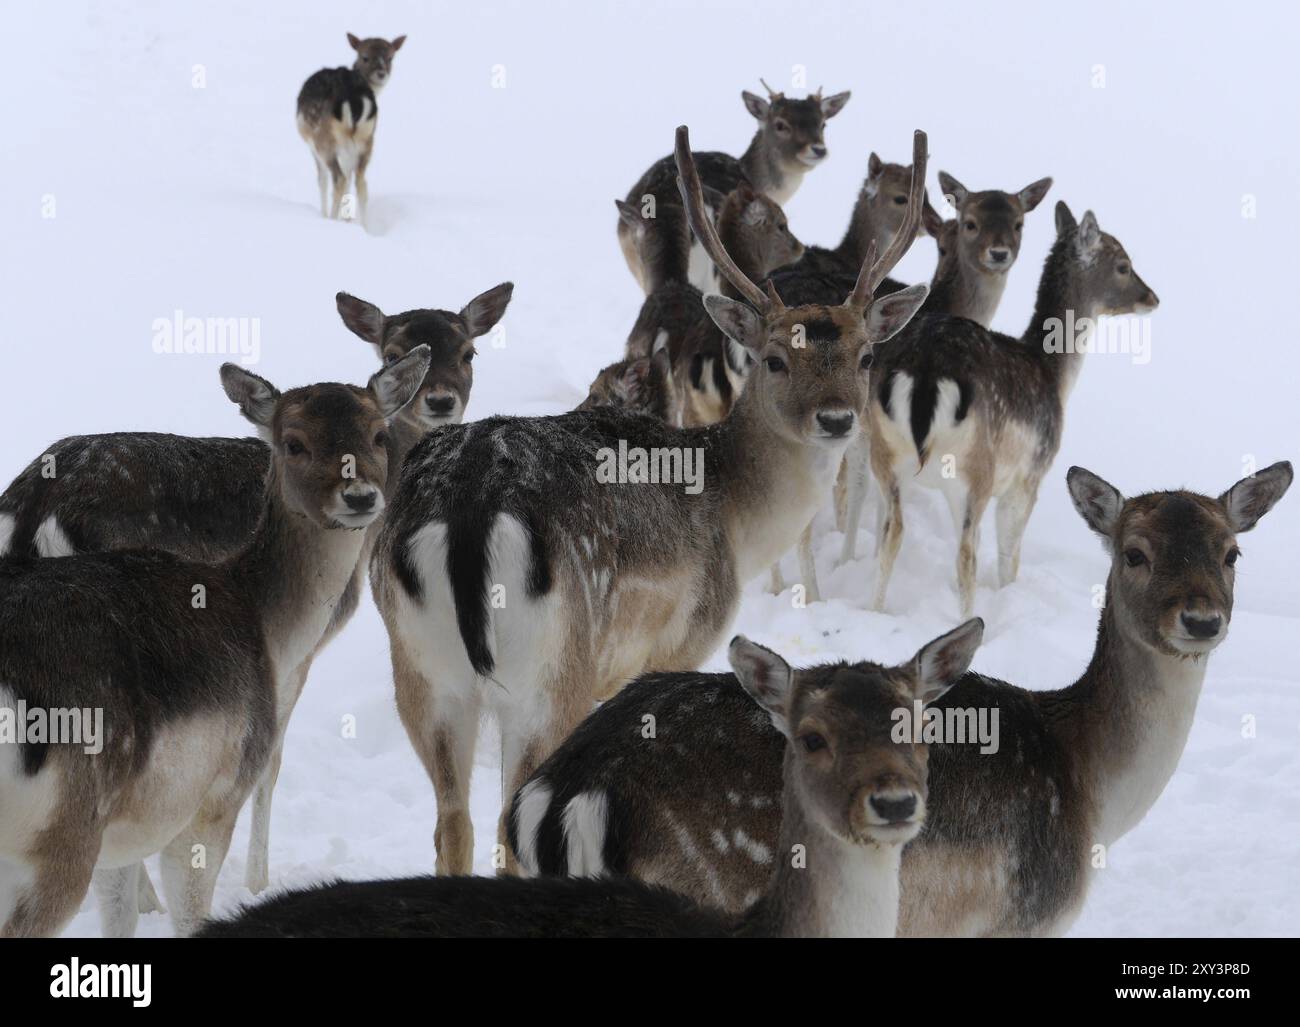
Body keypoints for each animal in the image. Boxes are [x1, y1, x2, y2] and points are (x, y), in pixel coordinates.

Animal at [0, 284, 512, 912]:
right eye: (390, 349)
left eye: (468, 352)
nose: (439, 401)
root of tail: (32, 504)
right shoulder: (299, 648)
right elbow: (271, 760)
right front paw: (257, 882)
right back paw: (148, 900)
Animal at [296, 33, 406, 226]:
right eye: (365, 57)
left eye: (390, 57)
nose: (381, 74)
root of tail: (355, 99)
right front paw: (347, 219)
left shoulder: (313, 146)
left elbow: (322, 180)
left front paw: (324, 215)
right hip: (367, 139)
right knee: (361, 182)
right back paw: (365, 226)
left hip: (325, 140)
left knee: (339, 179)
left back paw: (332, 220)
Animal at [367, 125, 929, 878]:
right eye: (775, 358)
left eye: (866, 356)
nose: (838, 418)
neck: (738, 517)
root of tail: (467, 513)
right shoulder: (683, 635)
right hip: (550, 669)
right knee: (505, 825)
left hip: (422, 669)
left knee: (451, 824)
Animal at [508, 461, 1292, 936]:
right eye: (1134, 552)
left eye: (1231, 552)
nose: (1200, 619)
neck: (1091, 788)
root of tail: (564, 790)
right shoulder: (1017, 919)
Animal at [867, 201, 1158, 617]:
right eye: (1122, 264)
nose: (1152, 297)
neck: (1055, 377)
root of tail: (925, 373)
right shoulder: (1029, 475)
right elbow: (1009, 556)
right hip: (973, 471)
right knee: (965, 553)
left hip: (884, 454)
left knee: (891, 534)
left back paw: (874, 610)